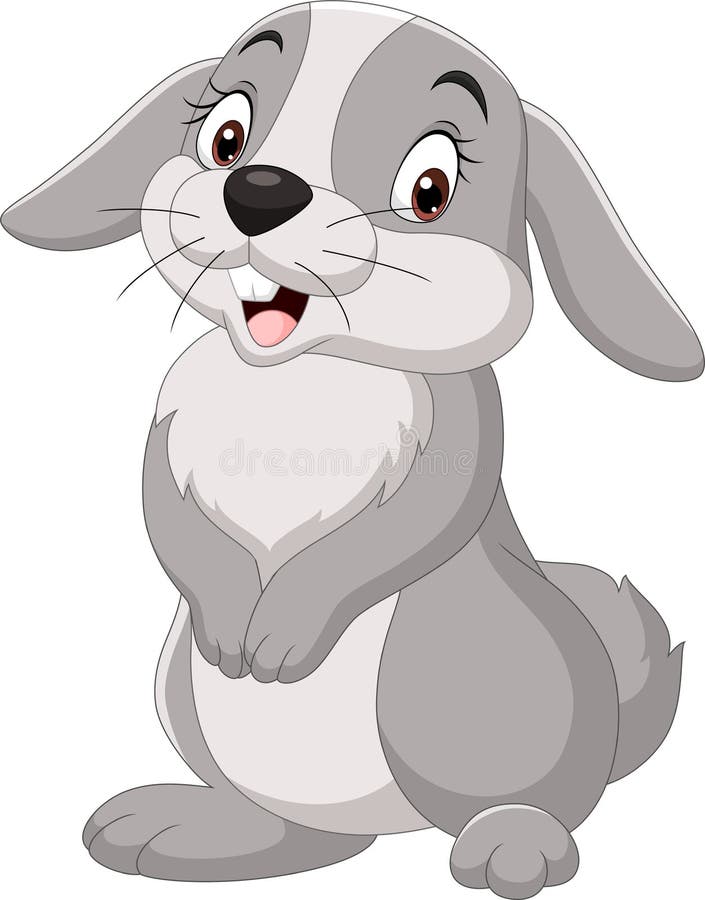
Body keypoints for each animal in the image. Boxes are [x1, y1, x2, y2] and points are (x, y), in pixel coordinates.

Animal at [2, 2, 701, 897]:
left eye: (429, 190)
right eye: (225, 134)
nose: (260, 189)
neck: (300, 375)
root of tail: (390, 821)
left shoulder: (457, 436)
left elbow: (406, 530)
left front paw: (282, 632)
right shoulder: (167, 425)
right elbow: (166, 514)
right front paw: (229, 617)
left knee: (532, 801)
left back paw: (512, 846)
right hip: (189, 707)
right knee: (305, 837)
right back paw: (197, 828)